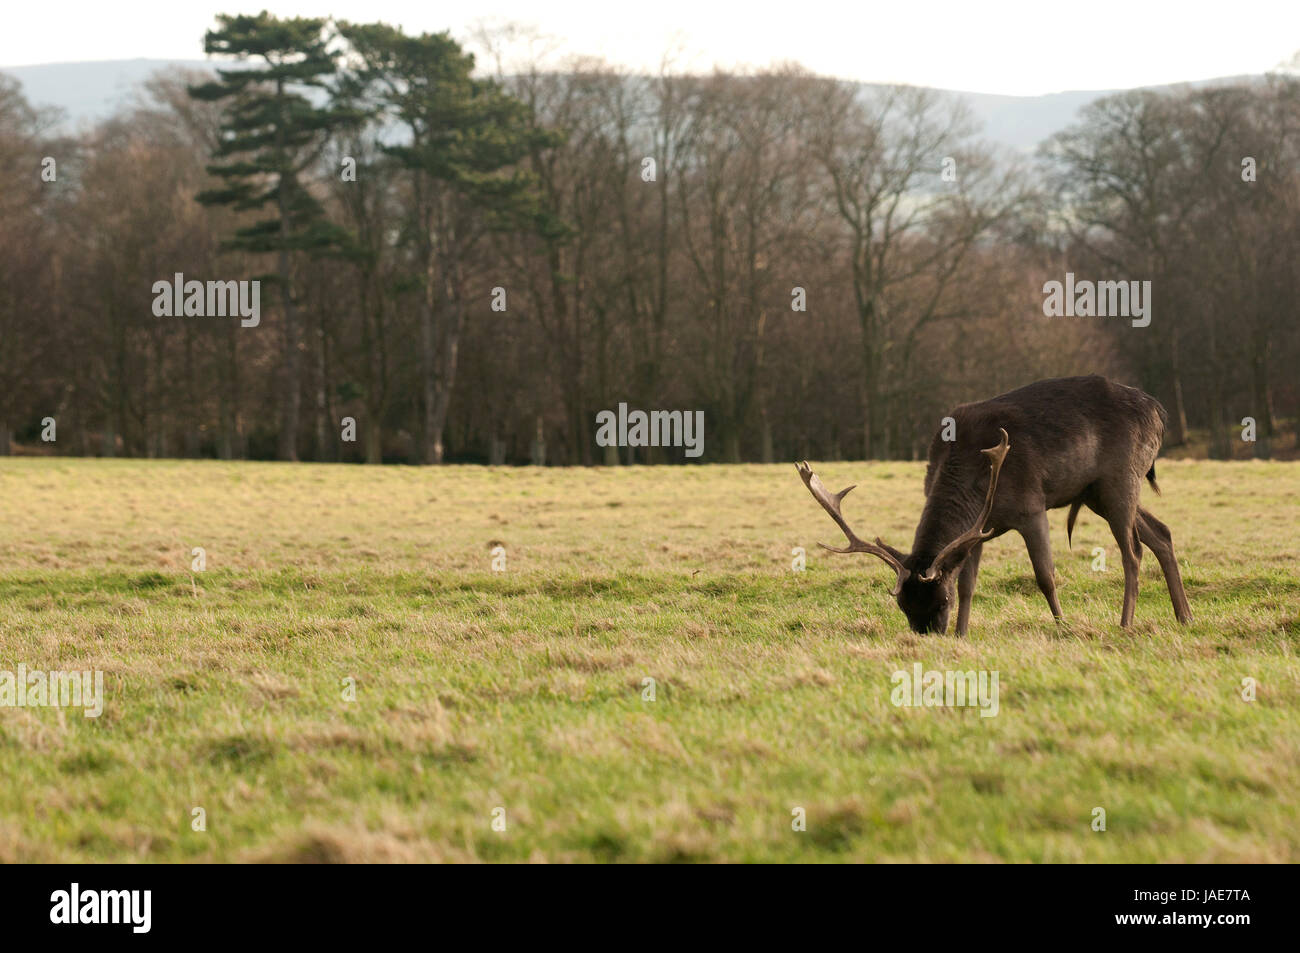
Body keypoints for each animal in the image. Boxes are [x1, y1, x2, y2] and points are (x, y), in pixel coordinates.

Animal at [796, 376, 1193, 634]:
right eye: (903, 605)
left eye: (940, 601)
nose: (929, 636)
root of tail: (1159, 411)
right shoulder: (979, 530)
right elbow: (969, 584)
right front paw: (962, 634)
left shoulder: (1031, 505)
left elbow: (1045, 576)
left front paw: (1063, 625)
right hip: (1096, 492)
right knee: (1162, 533)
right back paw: (1185, 616)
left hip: (1121, 478)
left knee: (1133, 552)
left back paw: (1125, 623)